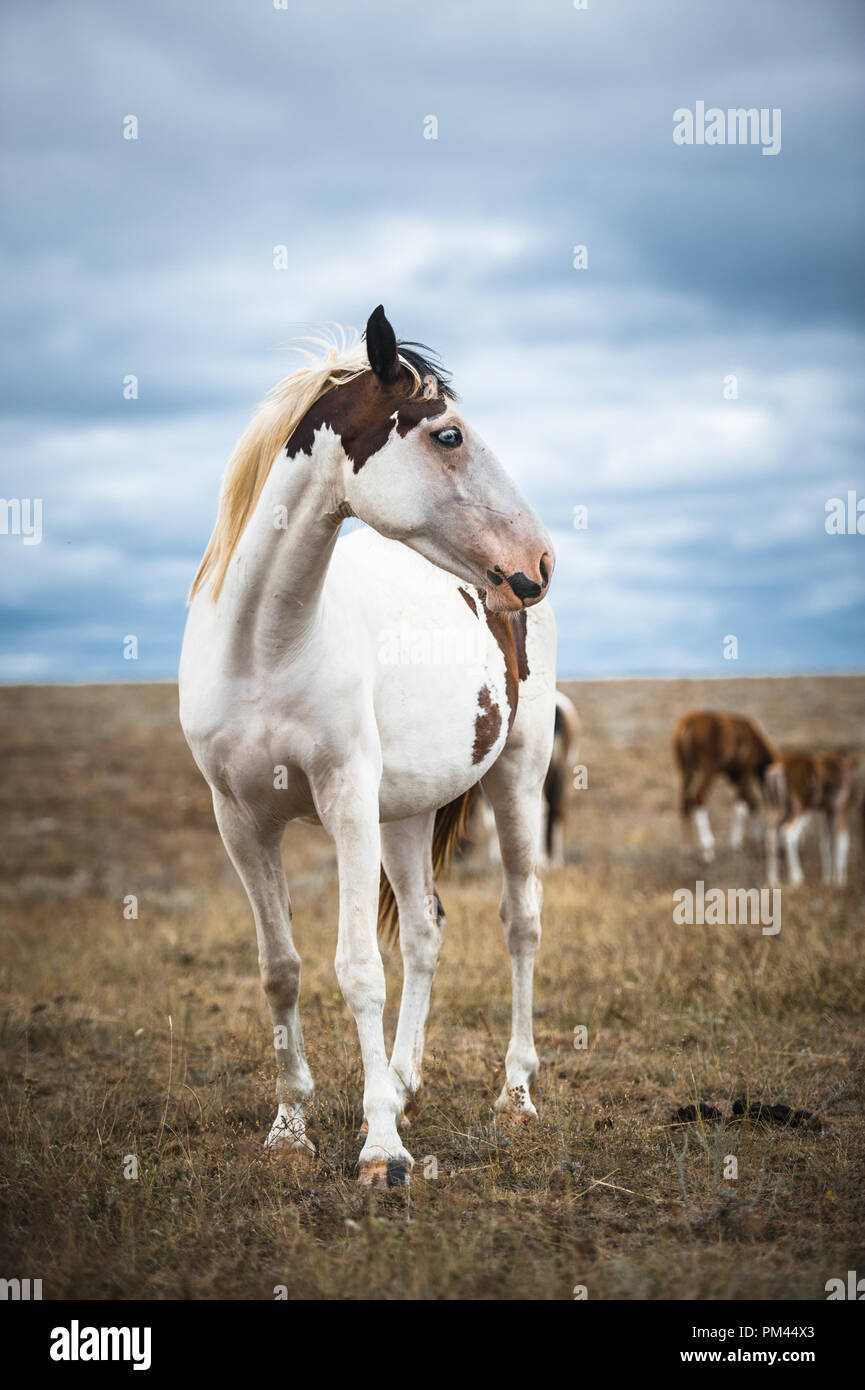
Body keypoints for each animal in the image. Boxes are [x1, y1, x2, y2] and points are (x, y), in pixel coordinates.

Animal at [179, 306, 557, 1187]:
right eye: (448, 435)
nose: (537, 561)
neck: (265, 646)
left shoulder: (345, 799)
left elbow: (356, 968)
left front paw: (381, 1147)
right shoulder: (240, 820)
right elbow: (280, 968)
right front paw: (290, 1126)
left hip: (516, 777)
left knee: (518, 922)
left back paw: (513, 1095)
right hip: (406, 814)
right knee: (424, 930)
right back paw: (407, 1079)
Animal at [672, 709, 776, 862]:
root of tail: (688, 723)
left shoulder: (734, 778)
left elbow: (752, 803)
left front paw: (759, 840)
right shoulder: (745, 774)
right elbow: (741, 806)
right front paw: (736, 844)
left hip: (686, 772)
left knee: (684, 801)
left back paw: (687, 848)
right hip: (709, 771)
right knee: (698, 797)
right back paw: (708, 848)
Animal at [764, 749, 862, 887]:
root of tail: (777, 770)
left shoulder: (826, 811)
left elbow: (826, 843)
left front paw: (827, 879)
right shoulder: (842, 808)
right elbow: (842, 843)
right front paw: (840, 880)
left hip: (777, 809)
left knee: (770, 834)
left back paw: (773, 879)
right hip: (801, 806)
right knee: (789, 832)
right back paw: (796, 877)